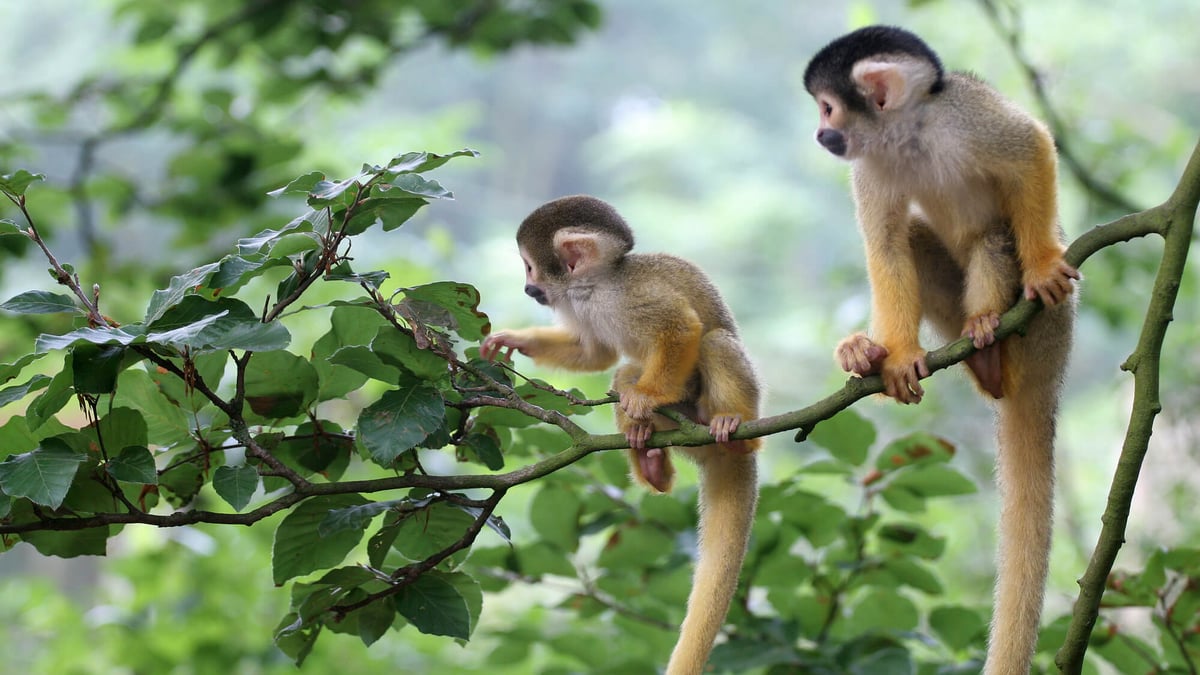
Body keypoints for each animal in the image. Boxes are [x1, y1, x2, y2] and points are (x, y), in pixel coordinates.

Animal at [479, 195, 762, 674]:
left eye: (530, 268)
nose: (528, 289)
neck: (594, 289)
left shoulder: (632, 297)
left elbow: (681, 328)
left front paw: (646, 398)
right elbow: (595, 353)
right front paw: (516, 339)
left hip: (717, 413)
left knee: (714, 342)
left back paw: (732, 425)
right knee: (624, 370)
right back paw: (649, 455)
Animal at [803, 26, 1079, 675]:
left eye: (827, 109)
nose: (820, 134)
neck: (907, 134)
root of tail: (1049, 376)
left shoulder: (964, 115)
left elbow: (1031, 147)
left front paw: (1044, 264)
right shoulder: (870, 162)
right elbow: (886, 245)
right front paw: (893, 356)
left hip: (1048, 330)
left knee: (996, 238)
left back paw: (991, 329)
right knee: (912, 236)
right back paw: (916, 357)